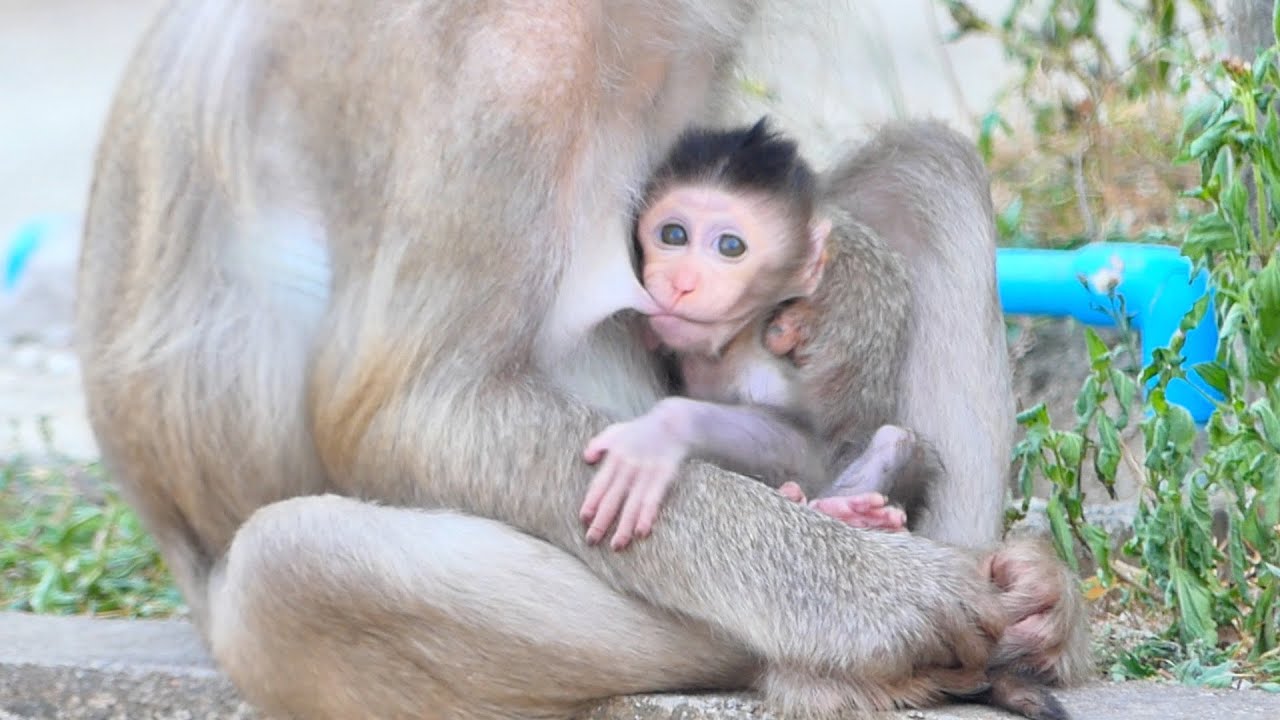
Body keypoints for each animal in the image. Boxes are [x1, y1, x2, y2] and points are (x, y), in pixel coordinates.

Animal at [579, 119, 943, 550]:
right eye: (673, 235)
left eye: (730, 246)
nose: (682, 282)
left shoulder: (761, 361)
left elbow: (807, 447)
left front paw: (661, 431)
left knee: (894, 441)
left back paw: (853, 512)